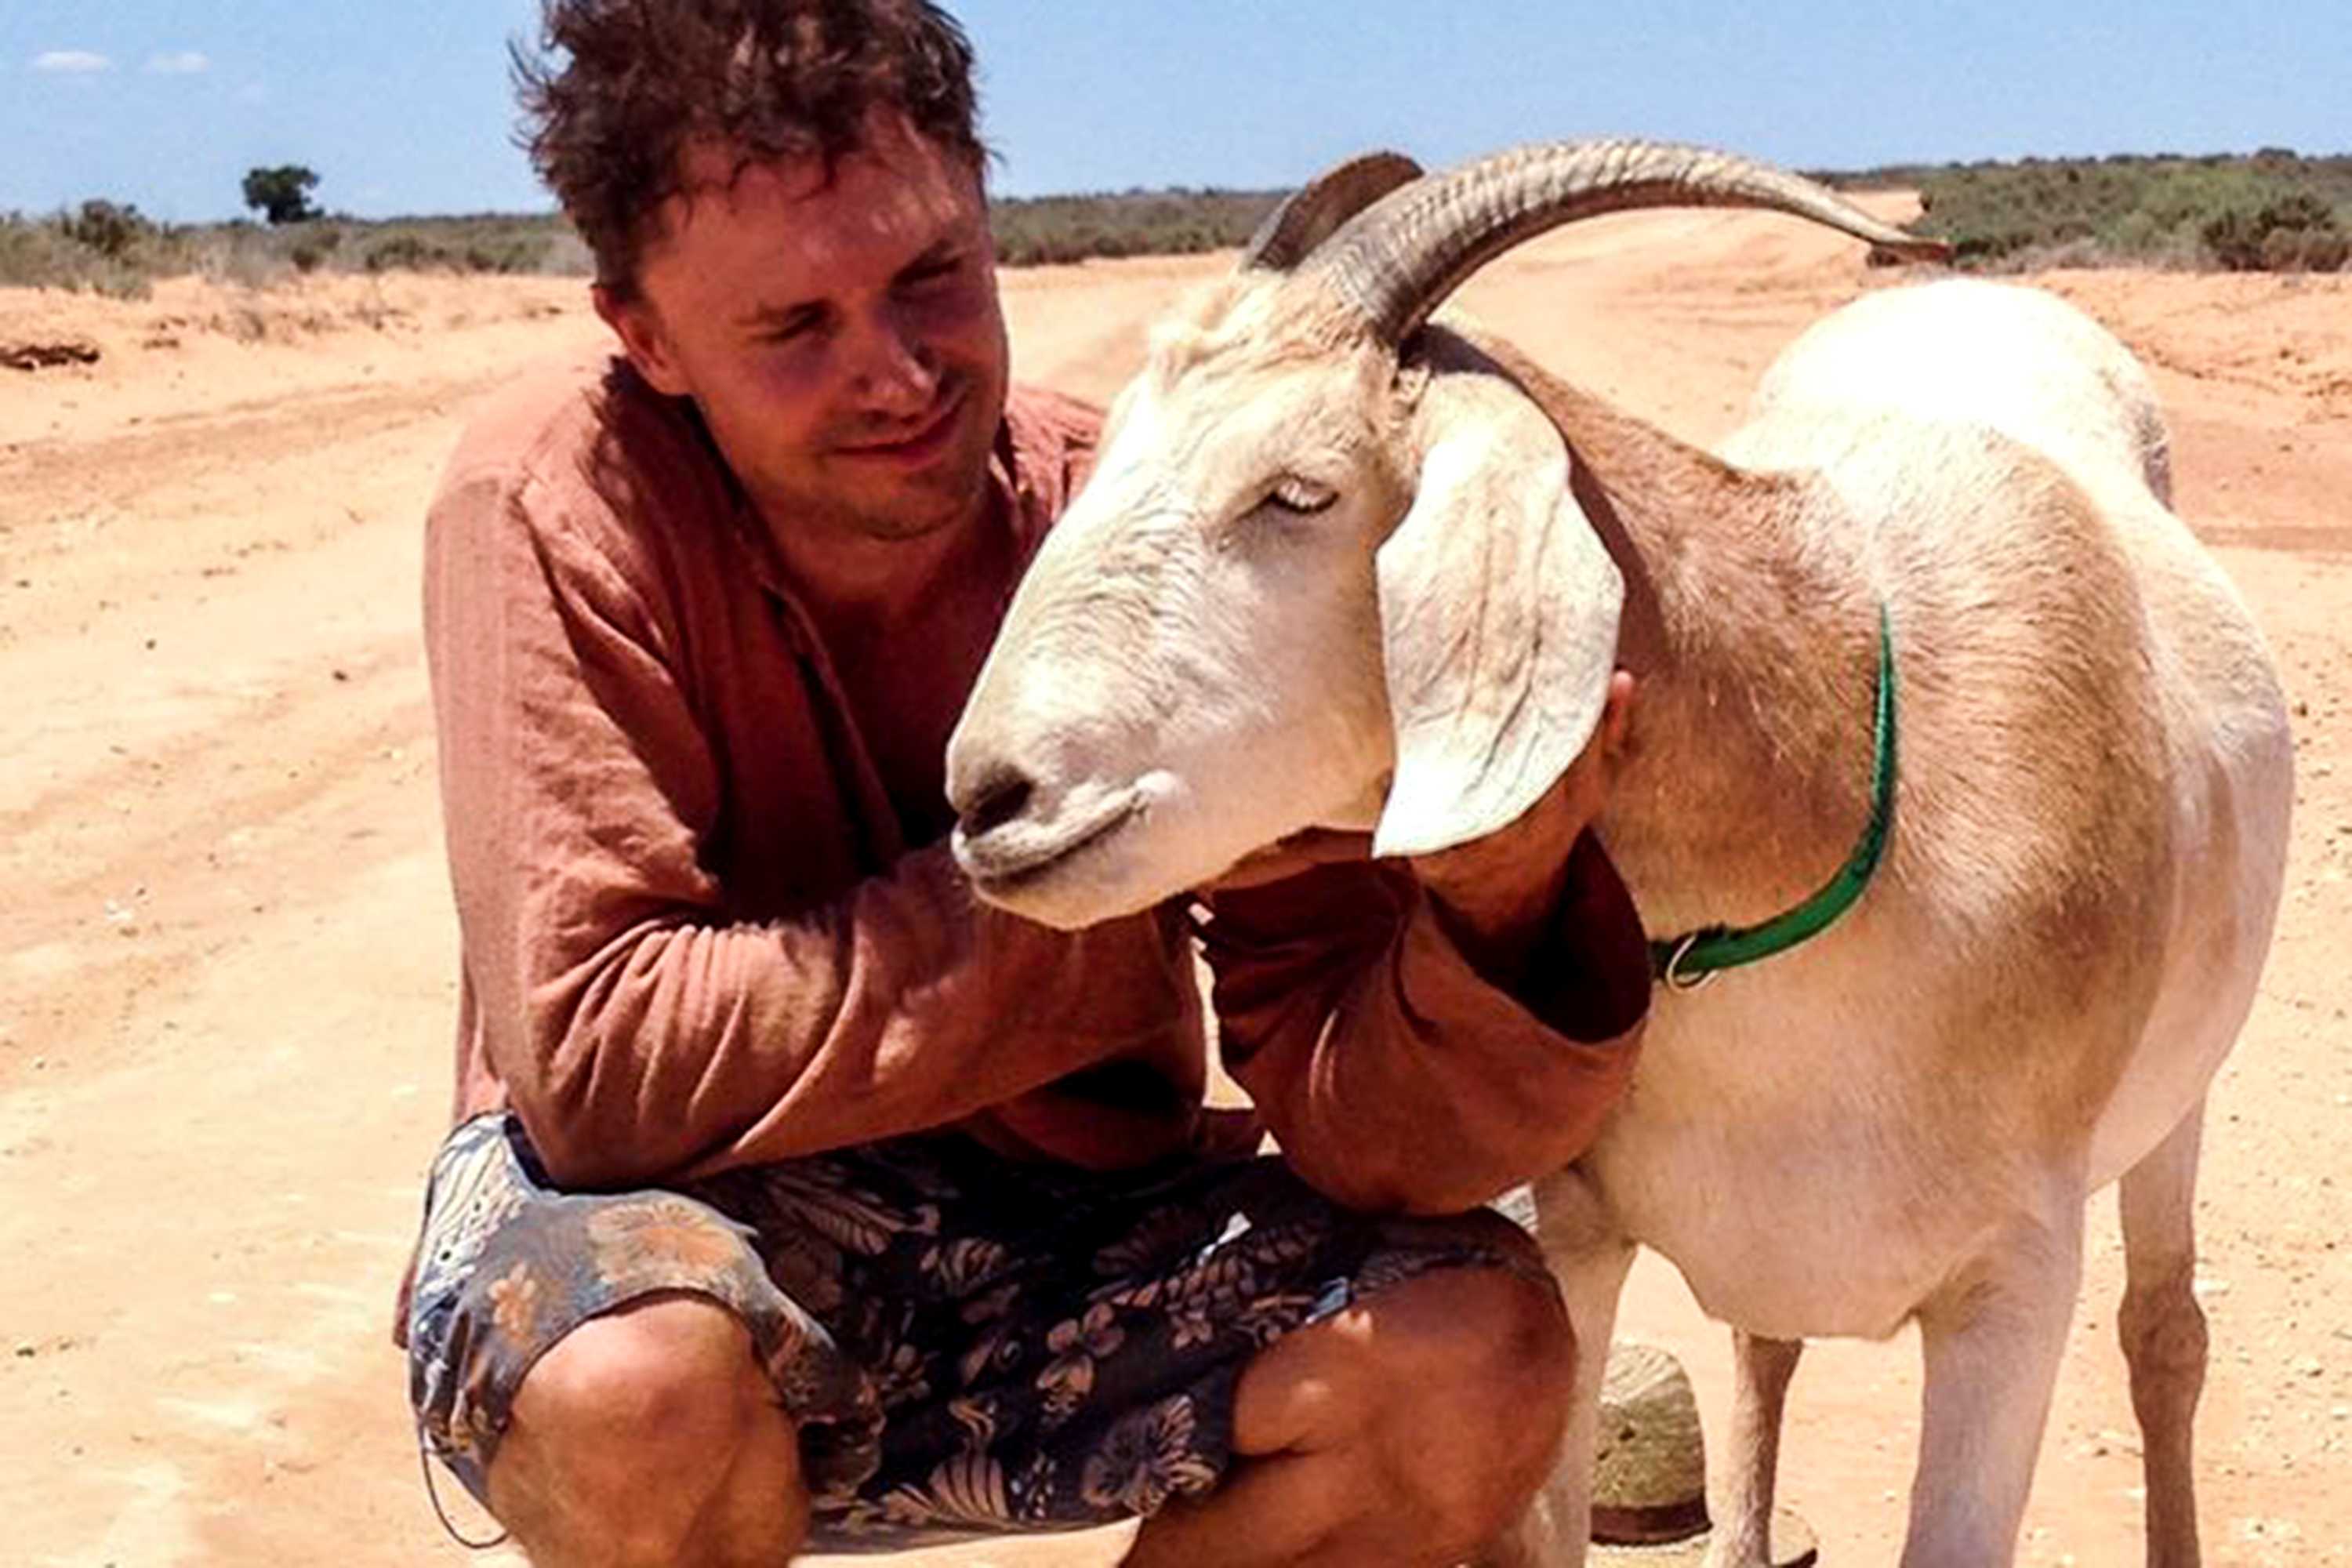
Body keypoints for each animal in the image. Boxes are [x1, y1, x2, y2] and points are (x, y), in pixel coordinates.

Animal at [944, 141, 2294, 1567]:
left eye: (1298, 492)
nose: (991, 797)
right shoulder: (1574, 1229)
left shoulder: (2013, 1287)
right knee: (1767, 1346)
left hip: (2177, 1111)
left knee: (2164, 1335)